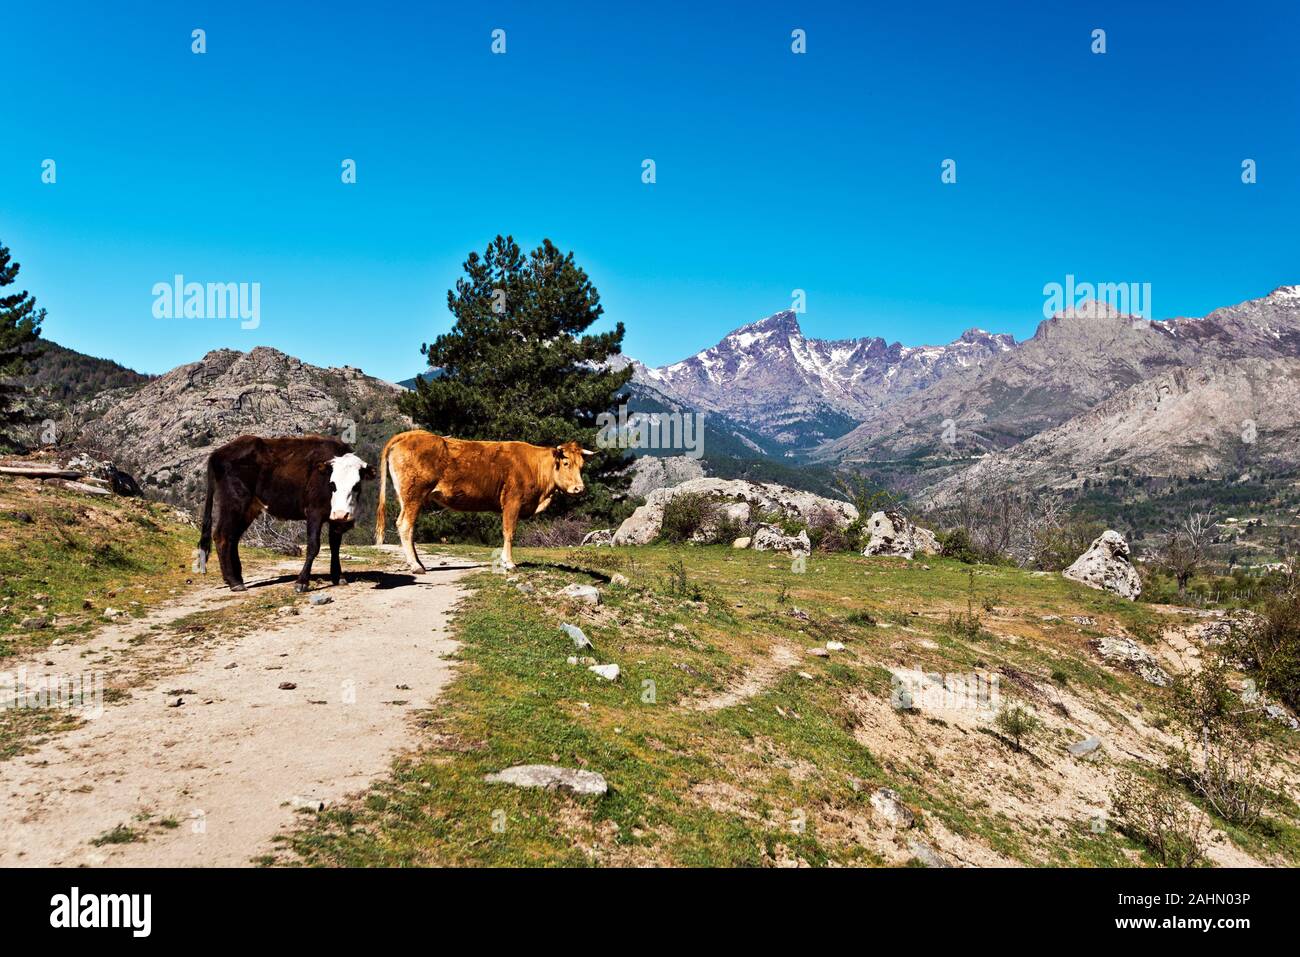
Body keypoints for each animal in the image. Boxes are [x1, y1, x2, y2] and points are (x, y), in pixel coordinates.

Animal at [198, 435, 374, 592]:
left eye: (357, 485)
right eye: (332, 484)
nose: (341, 513)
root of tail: (219, 452)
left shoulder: (334, 520)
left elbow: (335, 546)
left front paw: (338, 577)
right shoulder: (314, 512)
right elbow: (313, 546)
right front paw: (302, 582)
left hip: (248, 508)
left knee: (232, 538)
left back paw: (236, 577)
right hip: (234, 503)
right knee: (222, 536)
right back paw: (234, 581)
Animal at [374, 430, 594, 571]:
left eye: (582, 465)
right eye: (566, 463)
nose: (579, 488)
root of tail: (409, 434)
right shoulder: (512, 501)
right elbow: (509, 532)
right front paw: (509, 563)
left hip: (406, 497)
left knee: (409, 527)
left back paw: (419, 563)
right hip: (414, 494)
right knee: (405, 525)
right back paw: (415, 566)